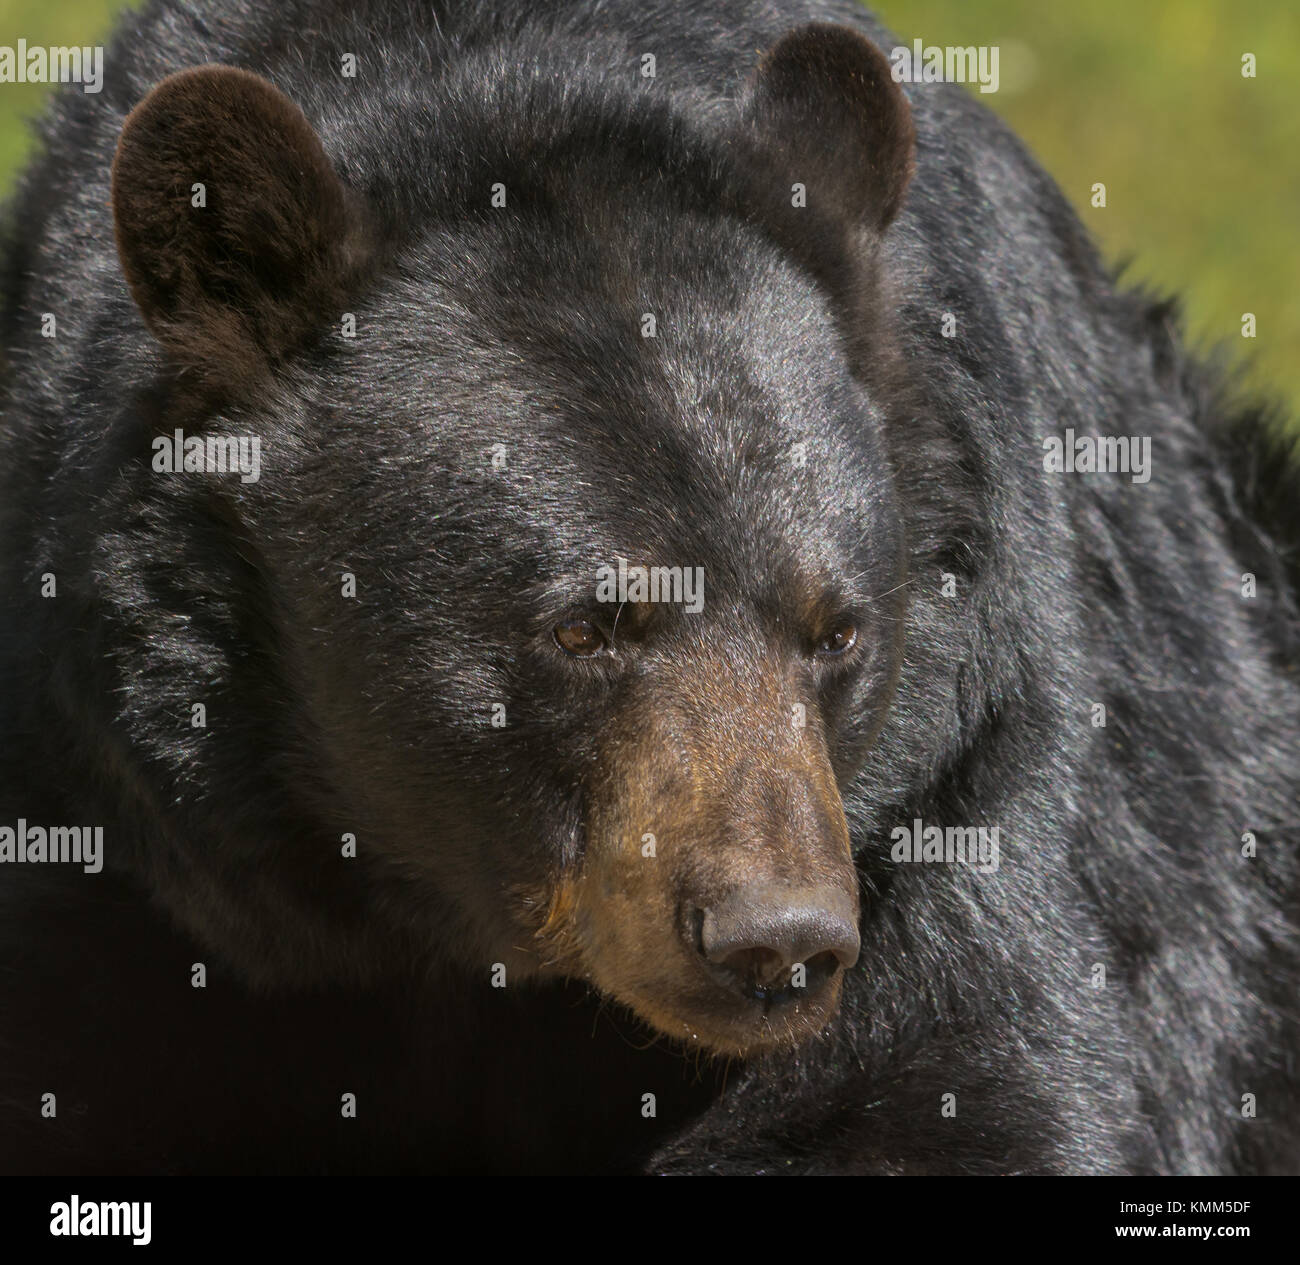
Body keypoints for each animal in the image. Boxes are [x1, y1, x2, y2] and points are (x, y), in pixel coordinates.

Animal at [1, 0, 1298, 1177]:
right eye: (584, 628)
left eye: (837, 632)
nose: (776, 941)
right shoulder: (128, 828)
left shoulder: (964, 773)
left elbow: (955, 1077)